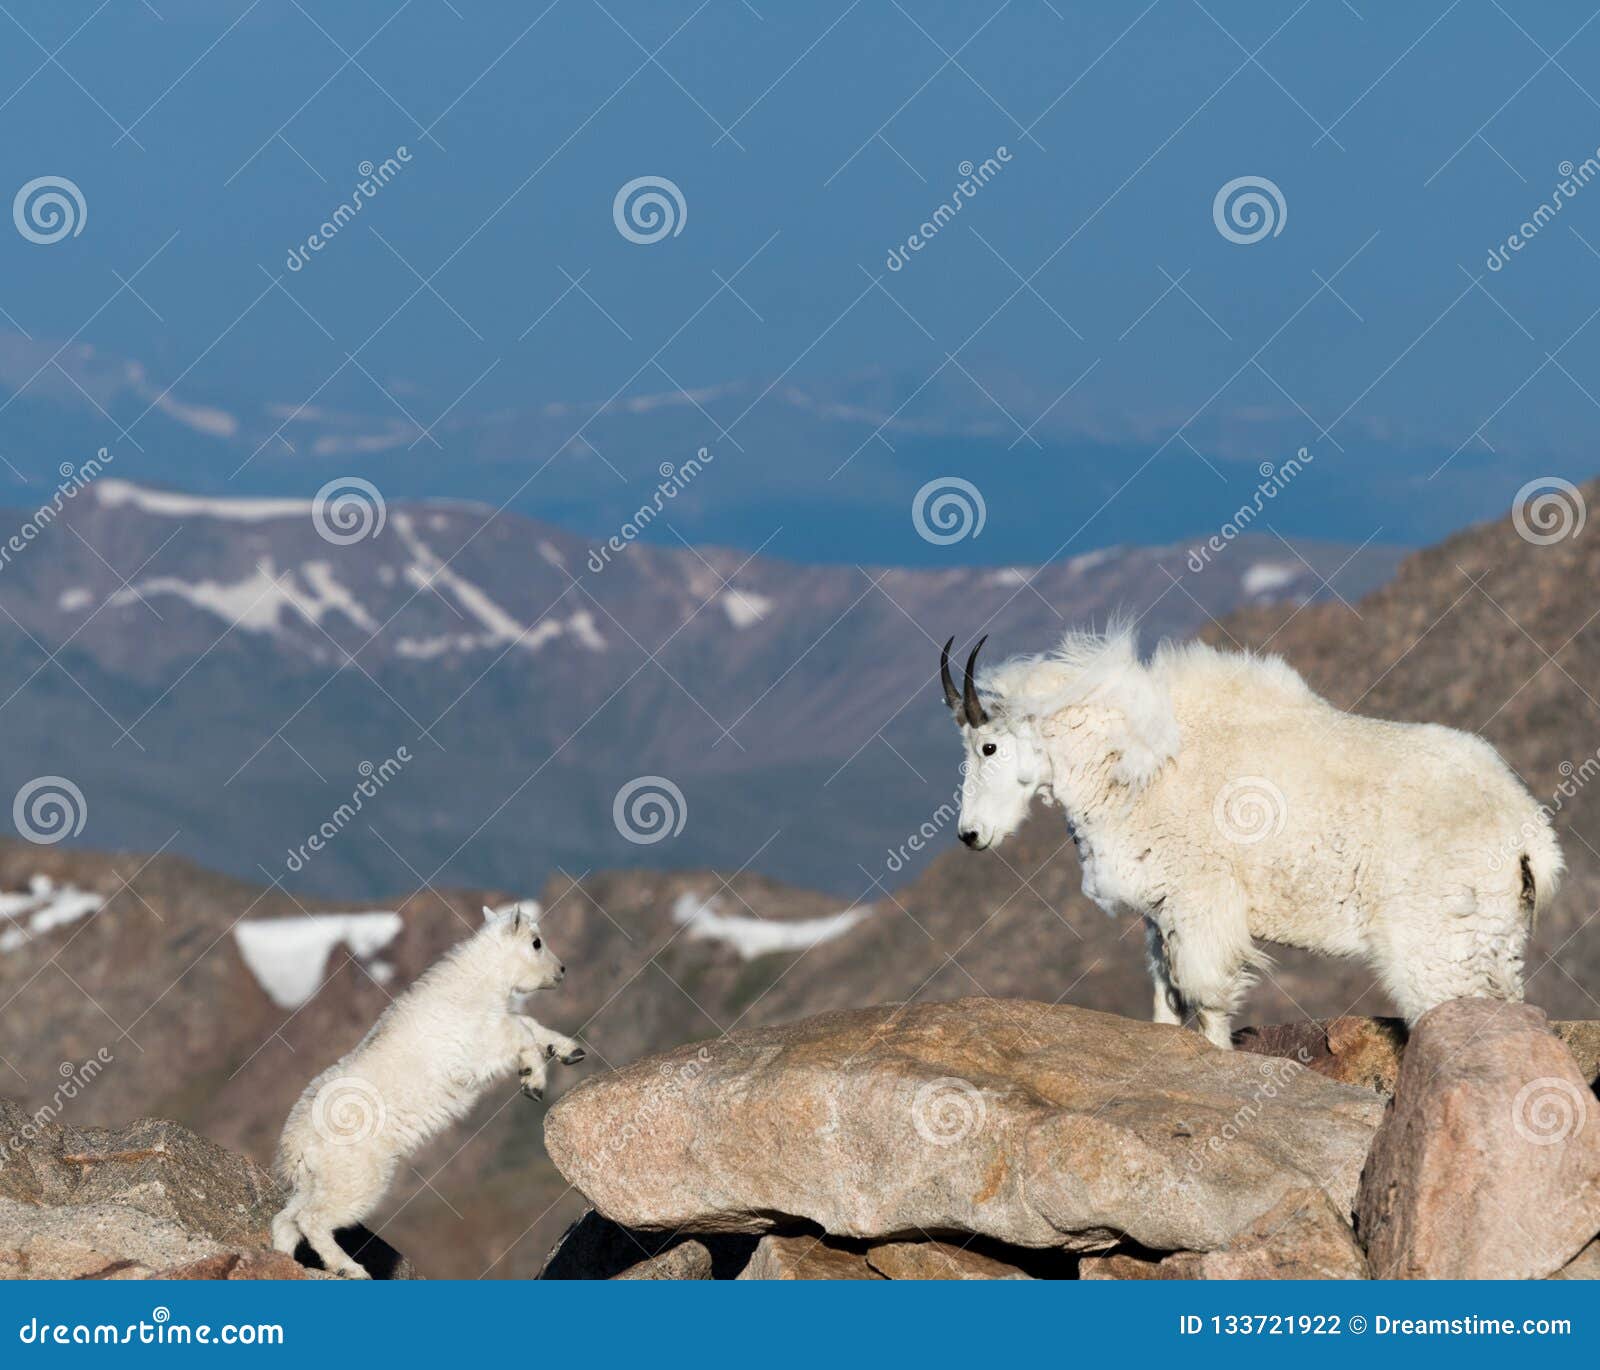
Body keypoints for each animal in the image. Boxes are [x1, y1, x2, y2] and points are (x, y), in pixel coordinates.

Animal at [270, 904, 585, 1277]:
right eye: (536, 942)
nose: (561, 970)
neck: (479, 982)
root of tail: (295, 1145)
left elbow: (530, 1026)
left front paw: (569, 1051)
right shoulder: (475, 1045)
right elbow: (520, 1031)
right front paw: (532, 1079)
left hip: (316, 1178)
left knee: (286, 1218)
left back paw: (284, 1257)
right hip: (355, 1171)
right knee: (314, 1218)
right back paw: (350, 1268)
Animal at [940, 629, 1564, 1048]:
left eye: (988, 747)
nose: (971, 833)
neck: (1134, 760)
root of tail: (1528, 835)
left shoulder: (1202, 904)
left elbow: (1208, 1001)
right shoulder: (1161, 914)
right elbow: (1165, 1001)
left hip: (1434, 945)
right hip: (1495, 938)